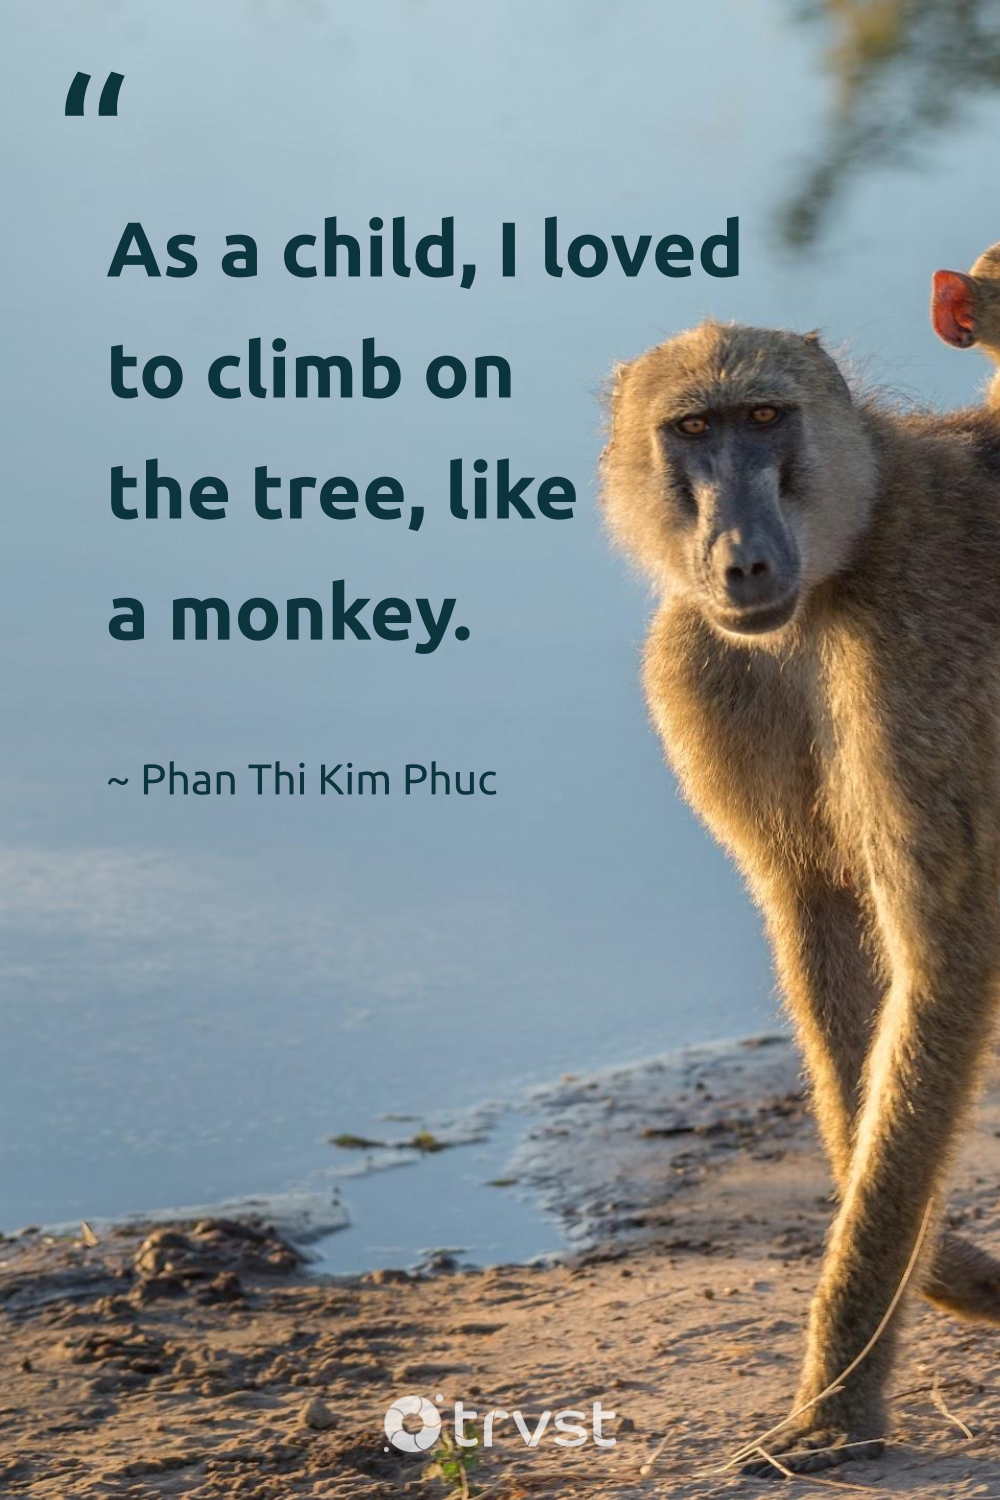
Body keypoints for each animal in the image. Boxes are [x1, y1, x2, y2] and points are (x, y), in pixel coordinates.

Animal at [600, 321, 1000, 1476]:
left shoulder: (915, 653)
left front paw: (837, 1402)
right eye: (693, 430)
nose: (742, 559)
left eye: (767, 418)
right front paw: (946, 1264)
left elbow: (943, 948)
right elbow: (820, 919)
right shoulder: (701, 662)